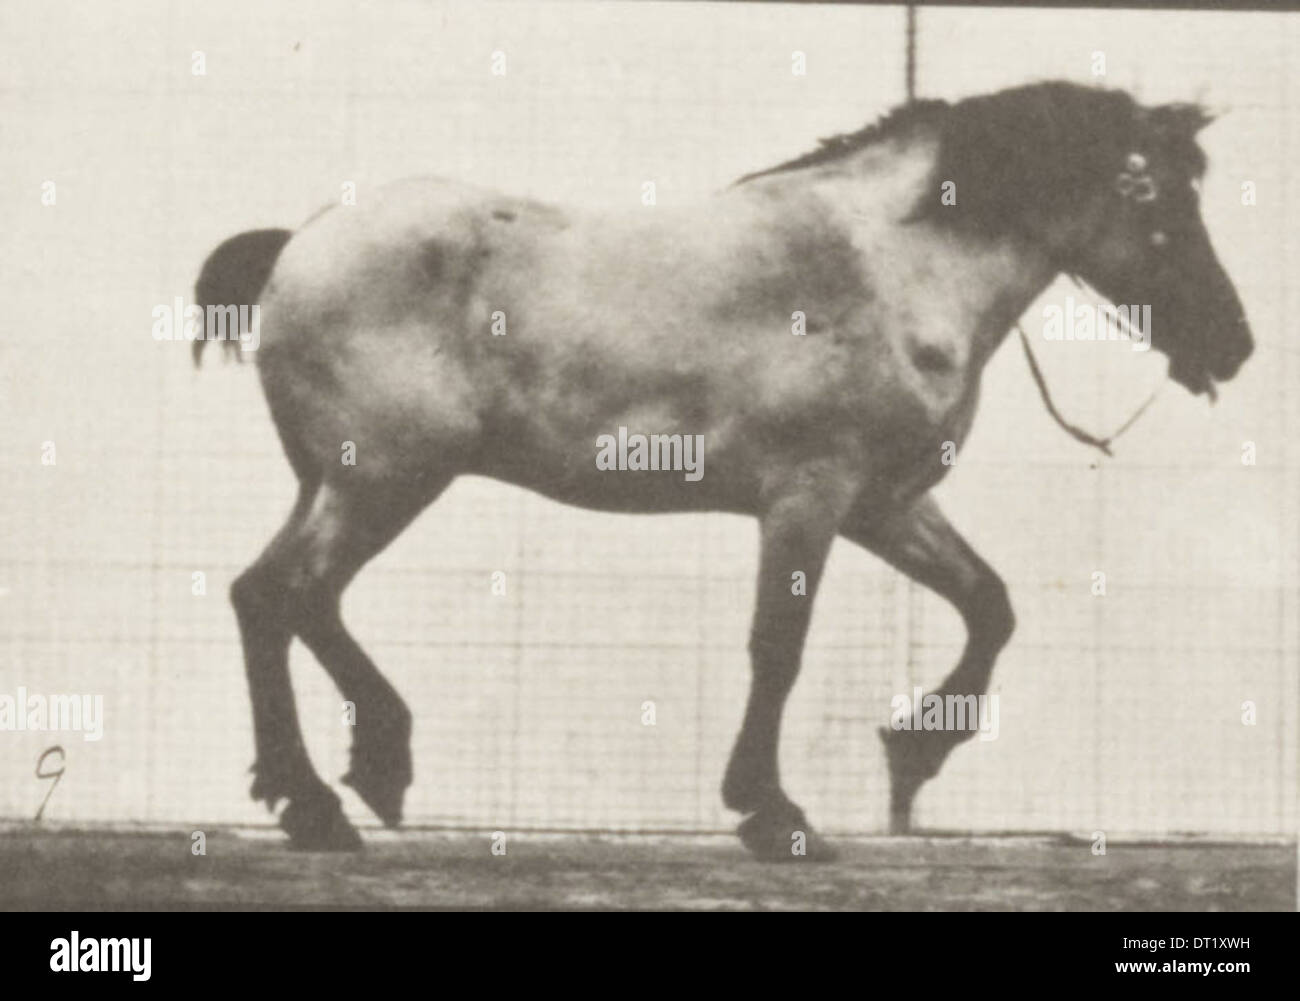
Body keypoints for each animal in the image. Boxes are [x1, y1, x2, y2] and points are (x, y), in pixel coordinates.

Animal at [194, 81, 1252, 859]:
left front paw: (914, 751)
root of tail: (296, 245)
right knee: (291, 593)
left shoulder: (884, 505)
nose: (1233, 344)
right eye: (1156, 195)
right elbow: (777, 648)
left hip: (339, 483)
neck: (887, 270)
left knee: (270, 598)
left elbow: (989, 605)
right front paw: (773, 812)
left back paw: (327, 786)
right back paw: (340, 788)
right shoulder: (807, 500)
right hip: (386, 479)